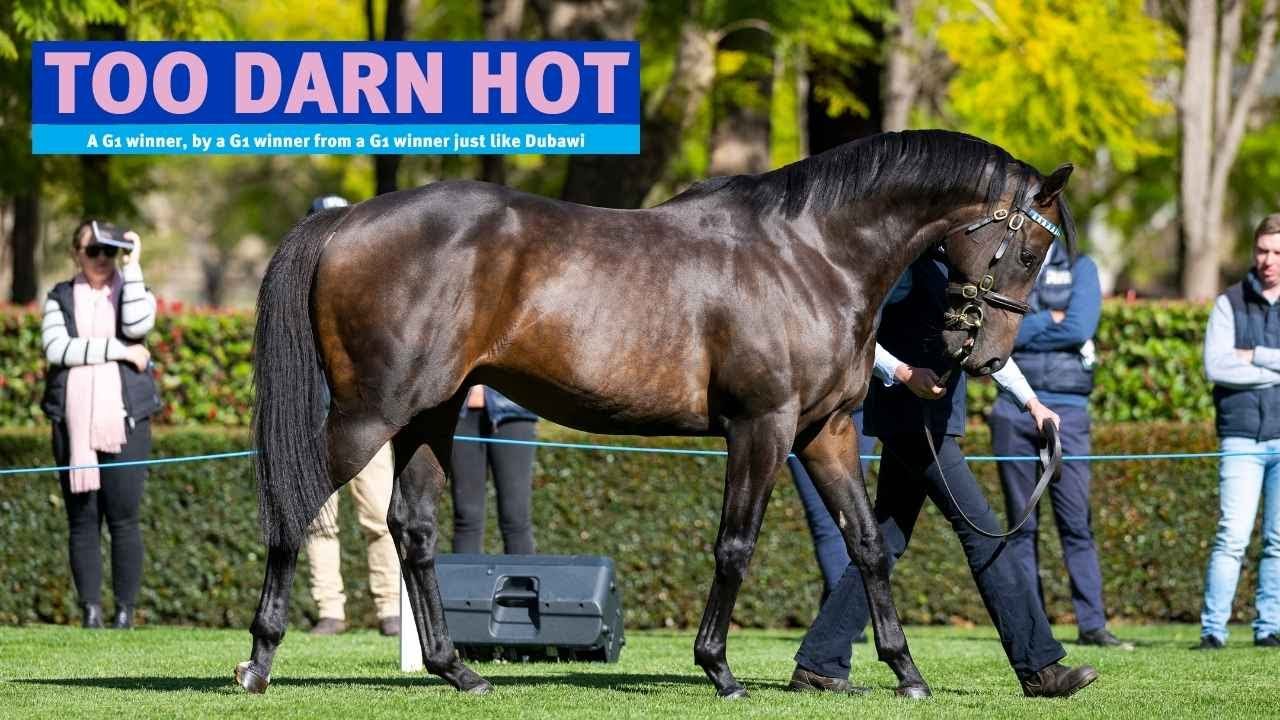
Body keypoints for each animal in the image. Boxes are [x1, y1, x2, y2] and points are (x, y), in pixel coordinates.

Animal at [235, 129, 1074, 699]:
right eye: (1031, 252)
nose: (984, 357)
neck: (811, 253)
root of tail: (345, 222)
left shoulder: (824, 431)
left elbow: (868, 545)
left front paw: (907, 670)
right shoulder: (762, 426)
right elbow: (735, 546)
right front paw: (719, 668)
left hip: (429, 416)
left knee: (412, 530)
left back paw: (456, 669)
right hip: (370, 414)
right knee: (295, 506)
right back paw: (258, 660)